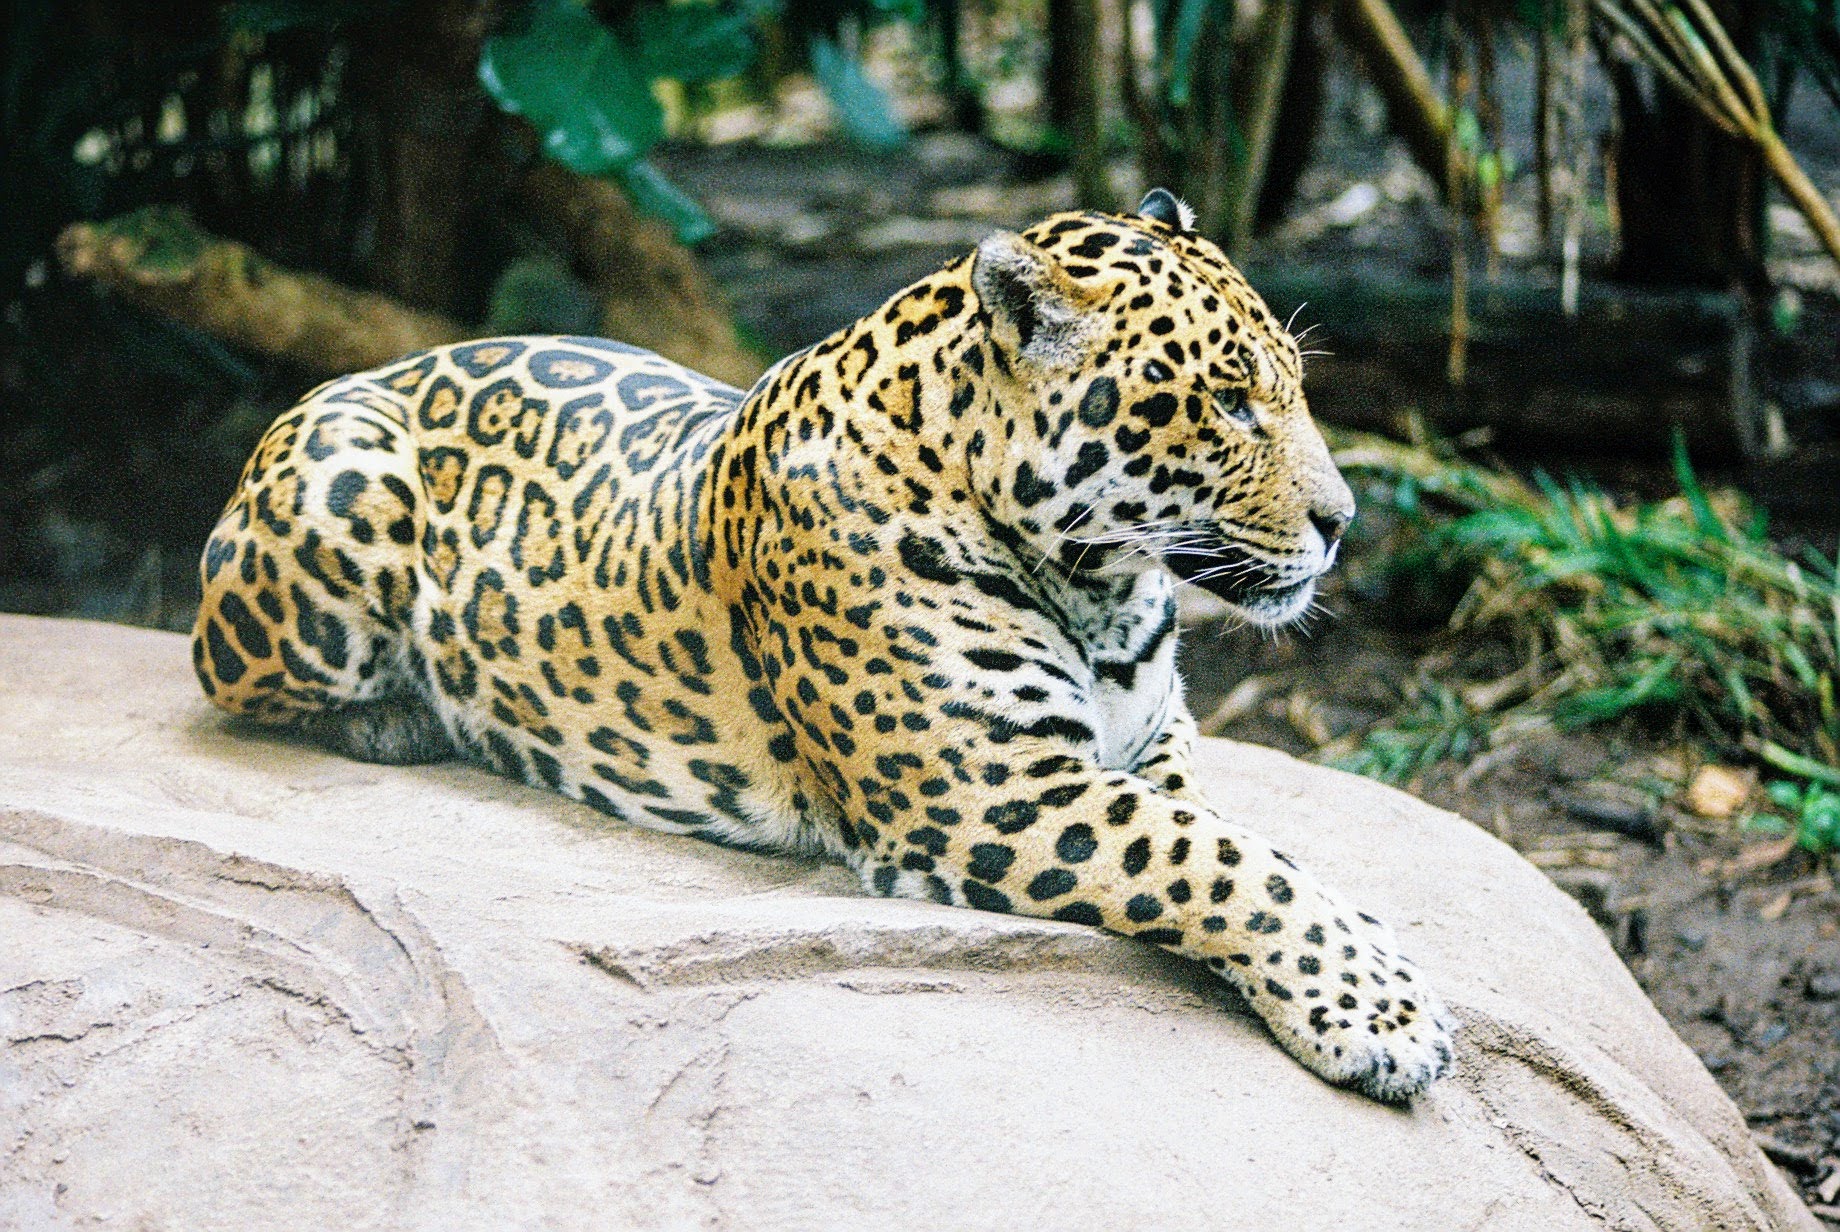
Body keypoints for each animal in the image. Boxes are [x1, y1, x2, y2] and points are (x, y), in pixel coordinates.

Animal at [192, 188, 1456, 1101]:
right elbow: (1218, 859)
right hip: (334, 502)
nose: (1343, 522)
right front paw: (1388, 1010)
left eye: (1289, 387)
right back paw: (406, 713)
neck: (1096, 584)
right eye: (1228, 402)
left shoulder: (1149, 743)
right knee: (228, 677)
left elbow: (1233, 836)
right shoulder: (988, 789)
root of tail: (363, 370)